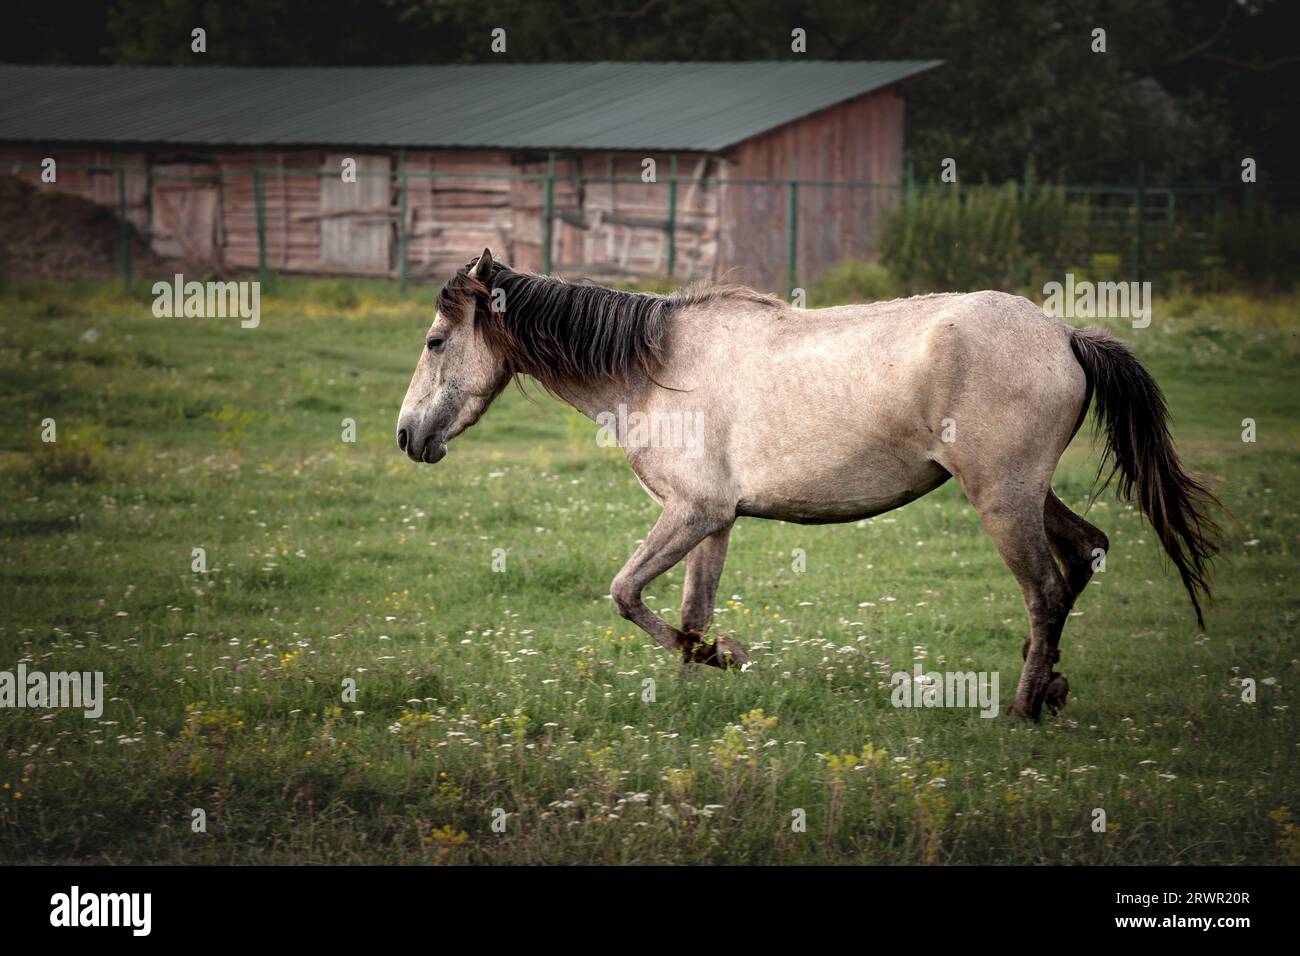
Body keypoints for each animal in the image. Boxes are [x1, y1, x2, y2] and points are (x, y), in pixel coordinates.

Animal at [396, 250, 1221, 719]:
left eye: (436, 341)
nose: (408, 436)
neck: (656, 369)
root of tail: (1066, 335)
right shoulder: (713, 521)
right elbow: (690, 612)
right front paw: (700, 680)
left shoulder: (691, 513)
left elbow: (627, 594)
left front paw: (724, 658)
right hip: (1026, 493)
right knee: (1085, 553)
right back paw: (1050, 685)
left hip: (1002, 499)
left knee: (1046, 590)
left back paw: (1023, 707)